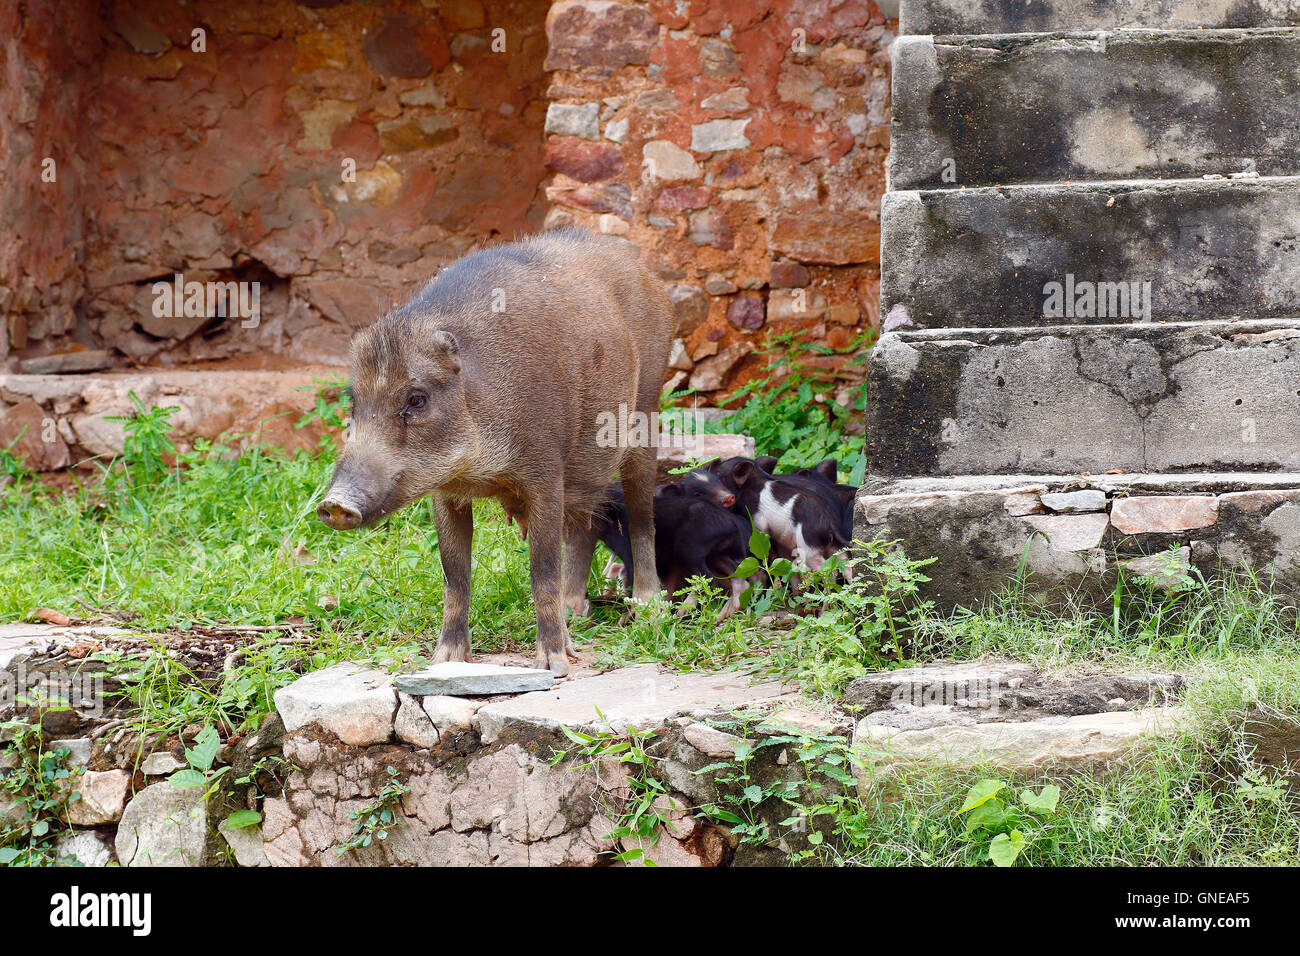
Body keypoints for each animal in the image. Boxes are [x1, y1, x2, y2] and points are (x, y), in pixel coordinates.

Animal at [316, 229, 673, 675]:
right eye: (355, 401)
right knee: (585, 524)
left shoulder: (544, 472)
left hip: (647, 410)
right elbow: (455, 576)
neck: (481, 468)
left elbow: (542, 570)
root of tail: (647, 271)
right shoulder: (446, 493)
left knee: (641, 513)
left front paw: (554, 665)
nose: (333, 505)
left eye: (416, 399)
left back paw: (648, 608)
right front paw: (444, 661)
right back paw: (576, 612)